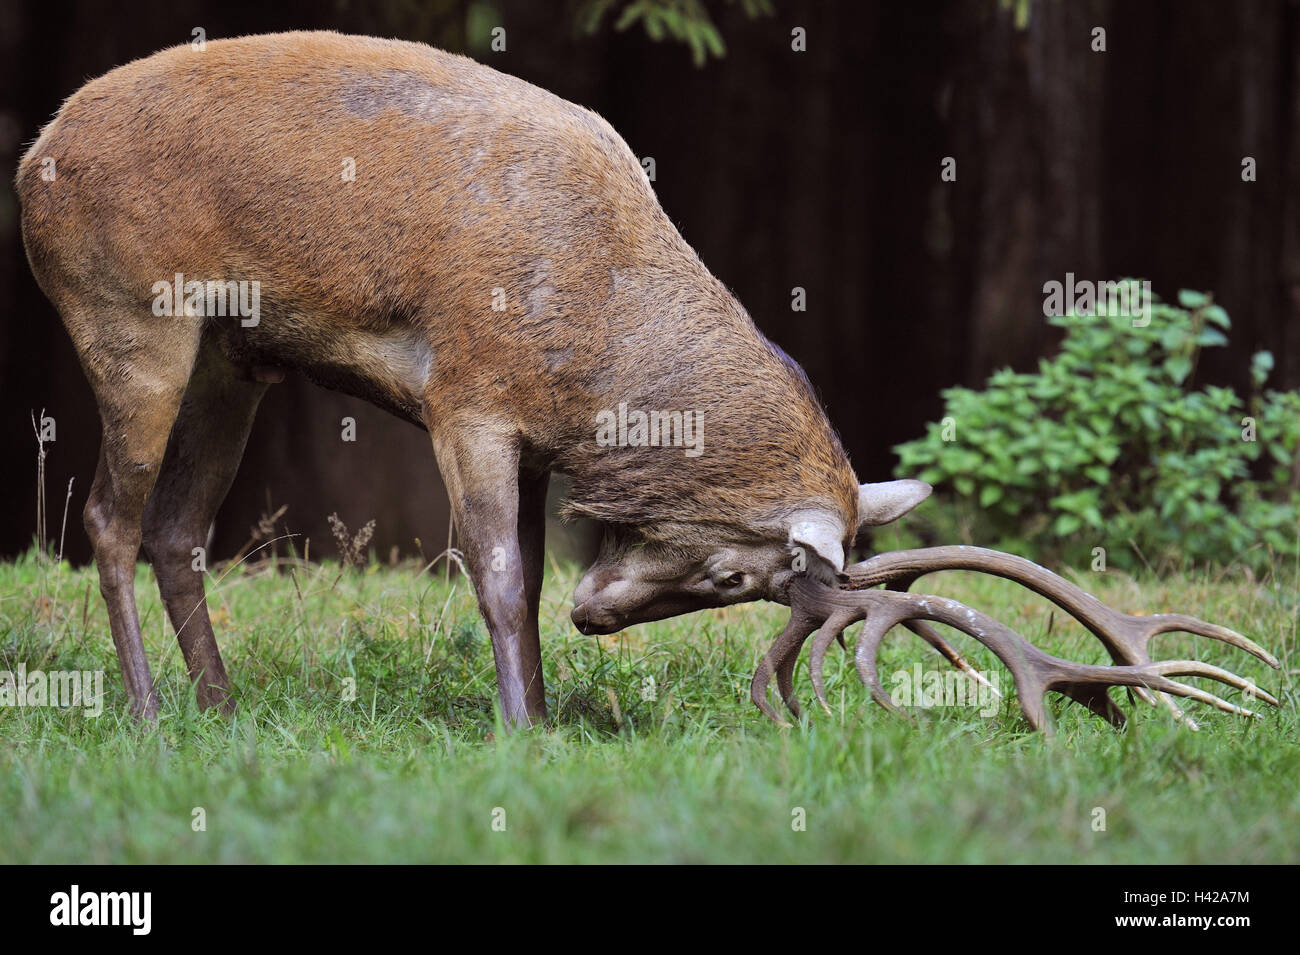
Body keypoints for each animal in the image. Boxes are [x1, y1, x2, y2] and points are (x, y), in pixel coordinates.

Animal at [18, 31, 1276, 732]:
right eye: (728, 574)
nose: (601, 617)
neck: (591, 346)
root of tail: (33, 159)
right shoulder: (468, 394)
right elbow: (494, 572)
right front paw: (522, 727)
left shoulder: (528, 437)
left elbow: (523, 579)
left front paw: (537, 702)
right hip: (130, 312)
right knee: (109, 517)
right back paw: (146, 714)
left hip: (237, 355)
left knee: (179, 527)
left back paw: (222, 707)